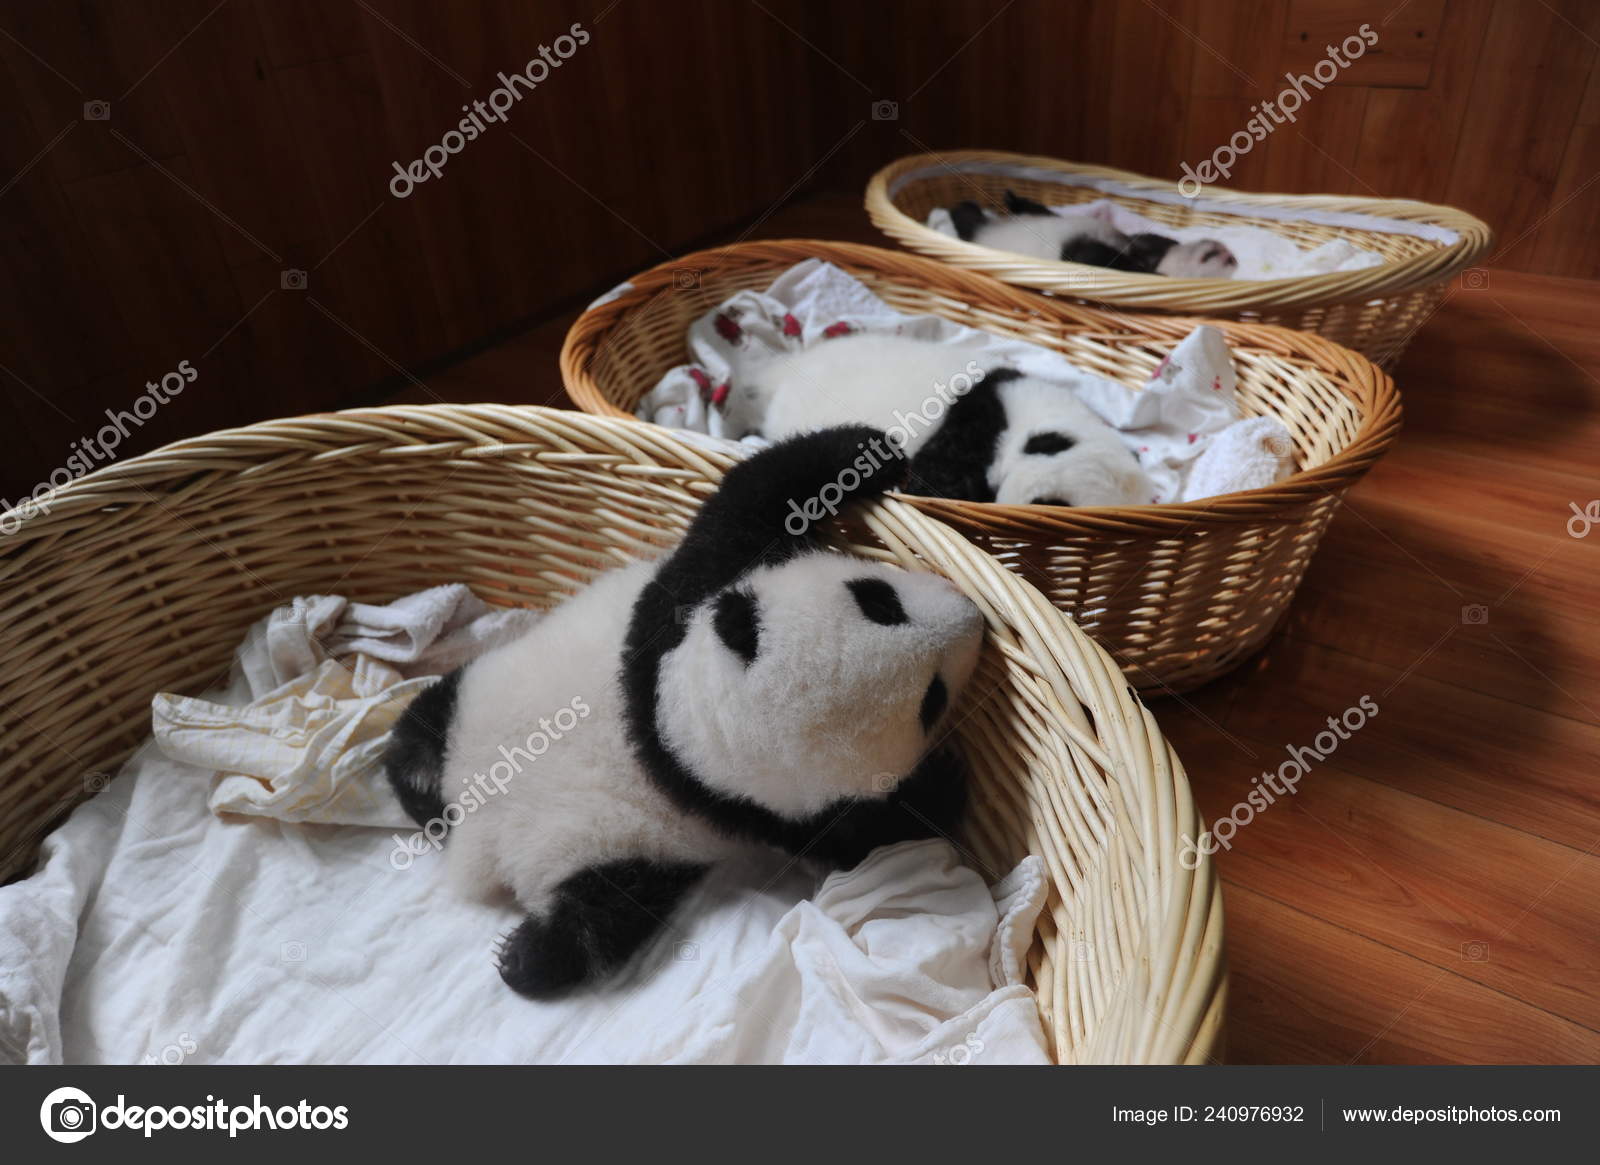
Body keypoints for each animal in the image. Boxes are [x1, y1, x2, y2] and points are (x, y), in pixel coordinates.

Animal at [384, 427, 984, 1000]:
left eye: (878, 597)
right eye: (930, 700)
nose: (973, 616)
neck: (675, 723)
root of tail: (480, 841)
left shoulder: (679, 613)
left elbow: (758, 494)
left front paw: (874, 456)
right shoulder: (755, 803)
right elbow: (863, 835)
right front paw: (943, 783)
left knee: (415, 737)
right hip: (591, 823)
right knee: (596, 924)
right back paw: (527, 958)